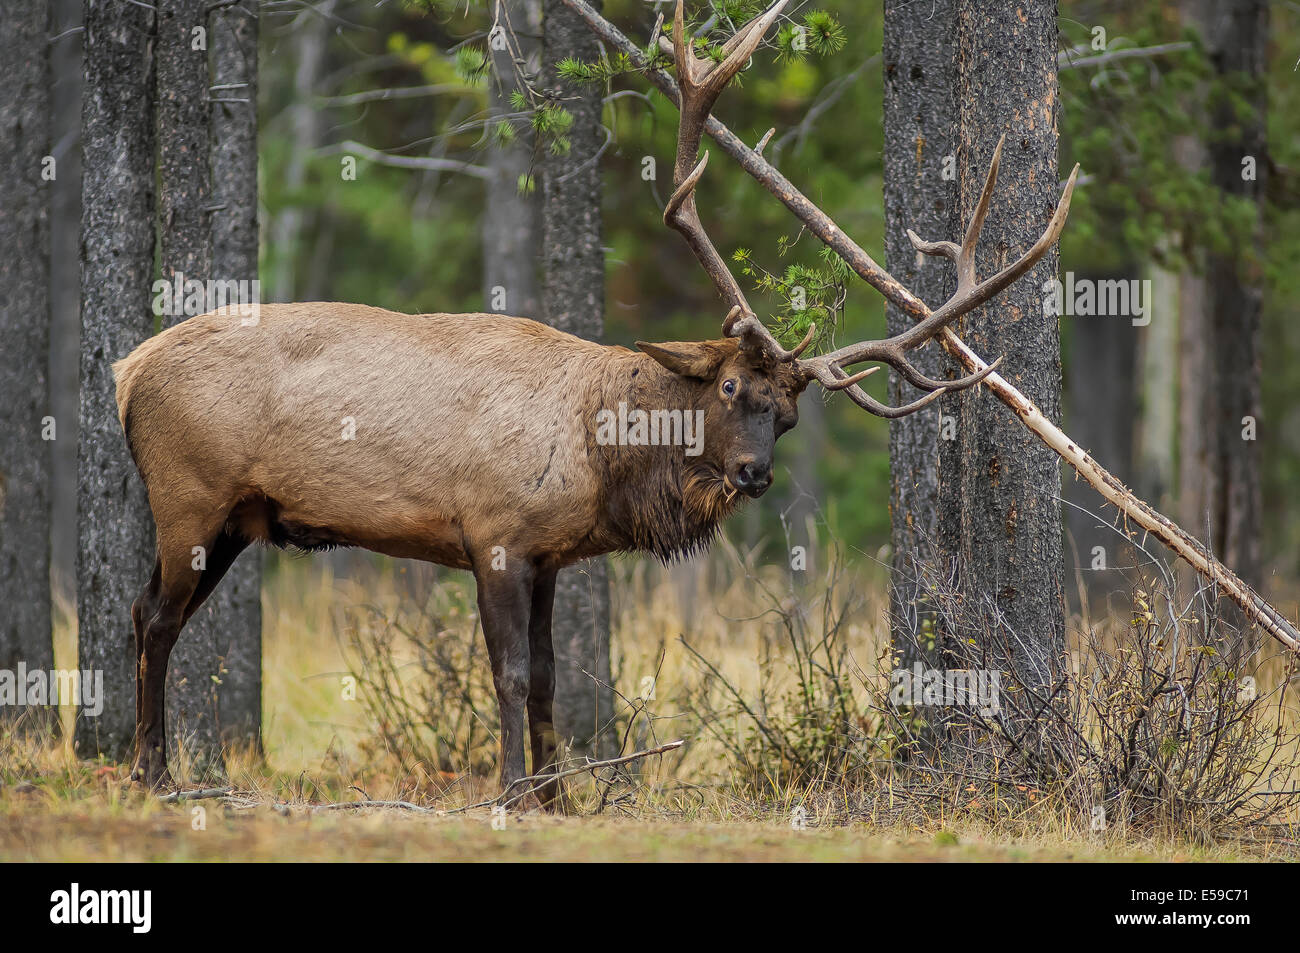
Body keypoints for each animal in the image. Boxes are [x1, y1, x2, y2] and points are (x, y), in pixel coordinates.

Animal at [114, 0, 1075, 809]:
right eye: (732, 386)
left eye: (790, 414)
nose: (755, 474)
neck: (597, 452)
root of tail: (125, 372)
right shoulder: (494, 532)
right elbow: (506, 674)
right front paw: (511, 792)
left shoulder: (547, 555)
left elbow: (546, 677)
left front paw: (559, 796)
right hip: (190, 496)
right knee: (151, 616)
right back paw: (150, 775)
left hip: (237, 518)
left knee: (150, 613)